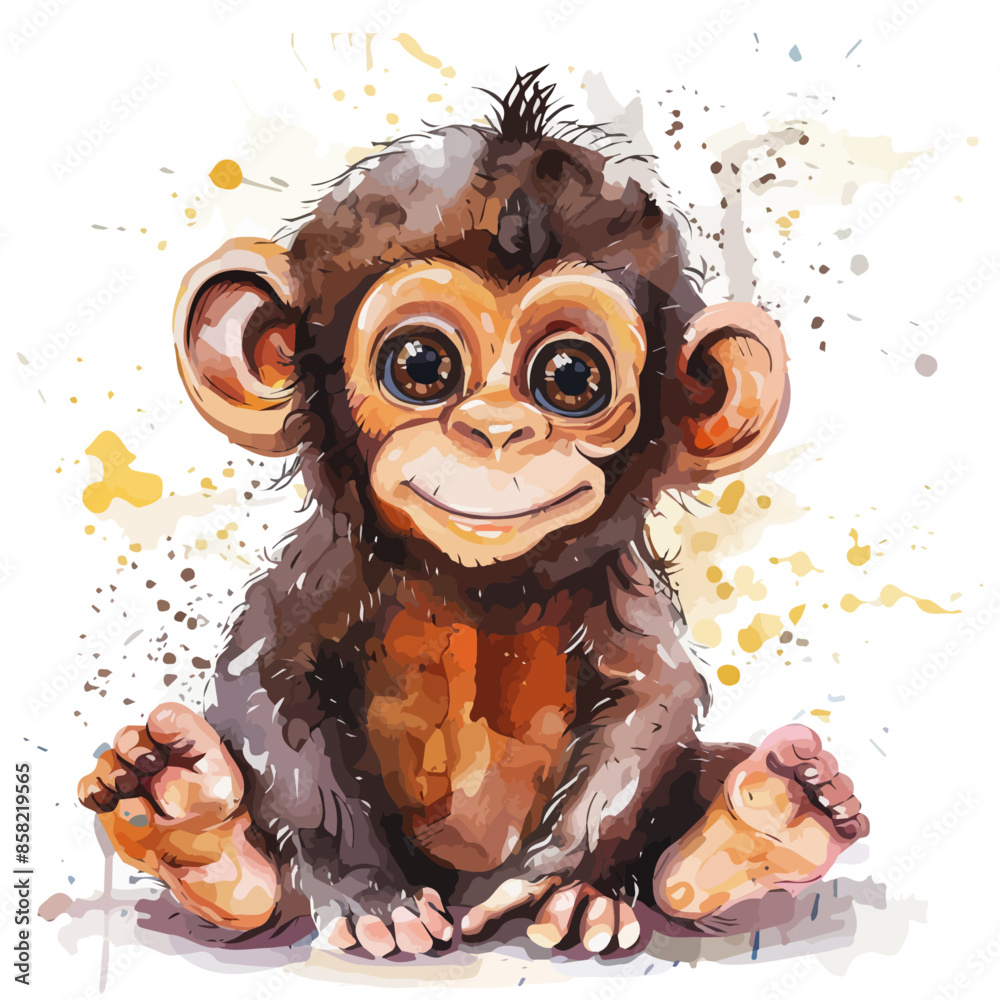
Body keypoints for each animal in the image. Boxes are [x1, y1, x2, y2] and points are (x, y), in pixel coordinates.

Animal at [78, 69, 868, 958]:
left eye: (570, 378)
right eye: (422, 366)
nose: (497, 429)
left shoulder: (617, 581)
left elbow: (653, 693)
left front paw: (546, 883)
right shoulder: (331, 562)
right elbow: (267, 677)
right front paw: (374, 895)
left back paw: (767, 817)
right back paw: (186, 811)